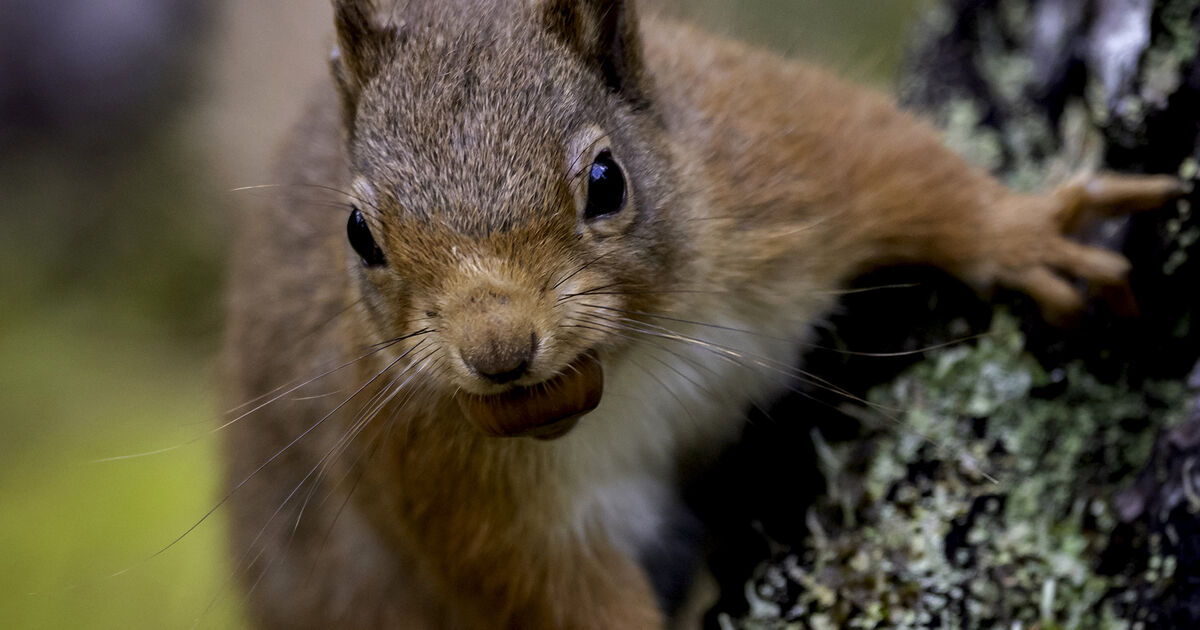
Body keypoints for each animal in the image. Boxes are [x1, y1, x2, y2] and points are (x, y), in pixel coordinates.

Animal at [222, 0, 1184, 628]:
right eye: (358, 234)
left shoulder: (769, 160)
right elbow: (557, 595)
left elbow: (899, 168)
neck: (631, 359)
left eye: (607, 180)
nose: (498, 350)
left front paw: (1026, 233)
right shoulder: (443, 486)